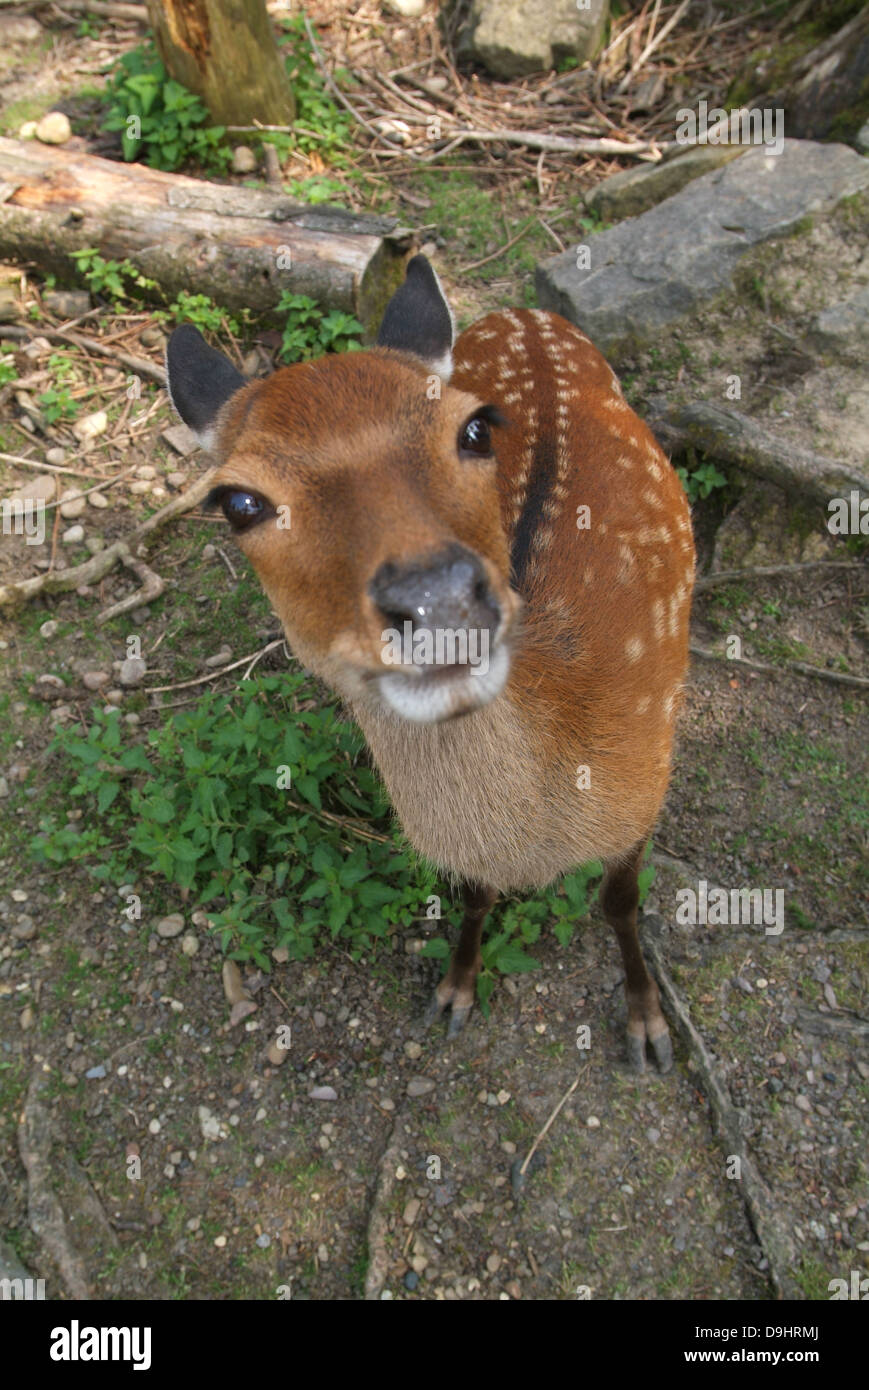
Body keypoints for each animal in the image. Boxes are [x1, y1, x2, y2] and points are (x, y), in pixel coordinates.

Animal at [166, 255, 695, 1073]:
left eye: (475, 428)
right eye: (237, 502)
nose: (437, 599)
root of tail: (523, 312)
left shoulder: (647, 780)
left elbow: (619, 902)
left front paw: (646, 1025)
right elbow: (475, 896)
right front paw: (453, 990)